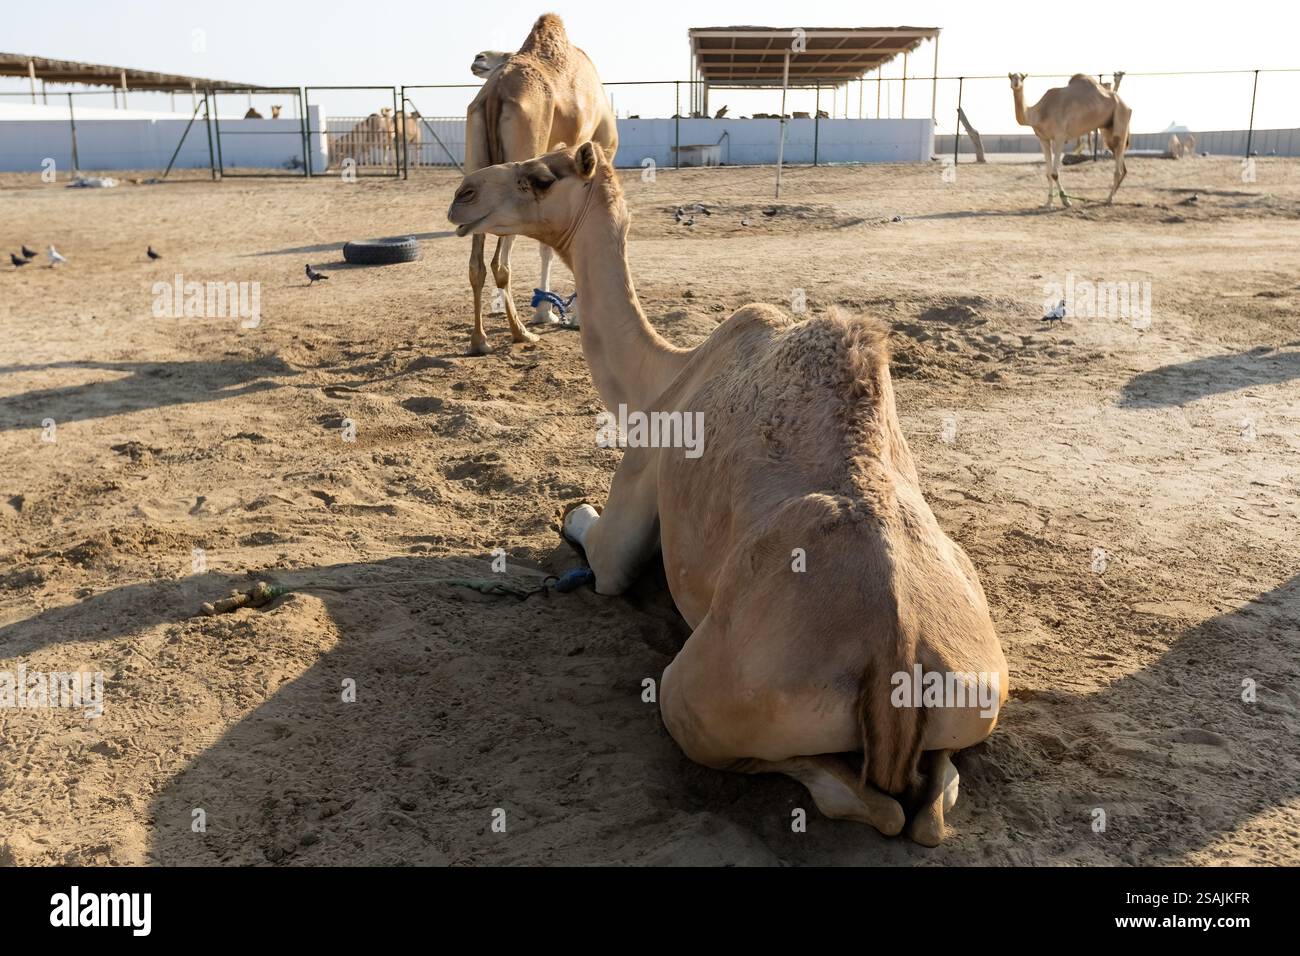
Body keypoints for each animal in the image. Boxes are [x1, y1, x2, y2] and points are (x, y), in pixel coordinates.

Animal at [446, 142, 1008, 845]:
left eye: (540, 177)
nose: (461, 195)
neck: (665, 373)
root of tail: (895, 657)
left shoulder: (642, 471)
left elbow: (598, 547)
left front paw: (567, 515)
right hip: (980, 692)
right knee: (934, 801)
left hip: (710, 695)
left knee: (849, 794)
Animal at [461, 14, 618, 354]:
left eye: (504, 53)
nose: (478, 58)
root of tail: (494, 94)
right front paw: (561, 316)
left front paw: (546, 312)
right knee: (500, 263)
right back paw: (520, 333)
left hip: (477, 163)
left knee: (476, 263)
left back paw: (480, 341)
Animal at [1009, 73, 1132, 207]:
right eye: (1011, 77)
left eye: (1022, 77)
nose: (1015, 83)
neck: (1040, 112)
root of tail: (1127, 106)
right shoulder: (1043, 139)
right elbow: (1048, 174)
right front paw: (1048, 203)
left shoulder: (1060, 136)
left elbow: (1054, 173)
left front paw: (1066, 200)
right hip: (1108, 131)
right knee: (1122, 167)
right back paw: (1110, 196)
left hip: (1120, 122)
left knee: (1118, 169)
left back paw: (1109, 199)